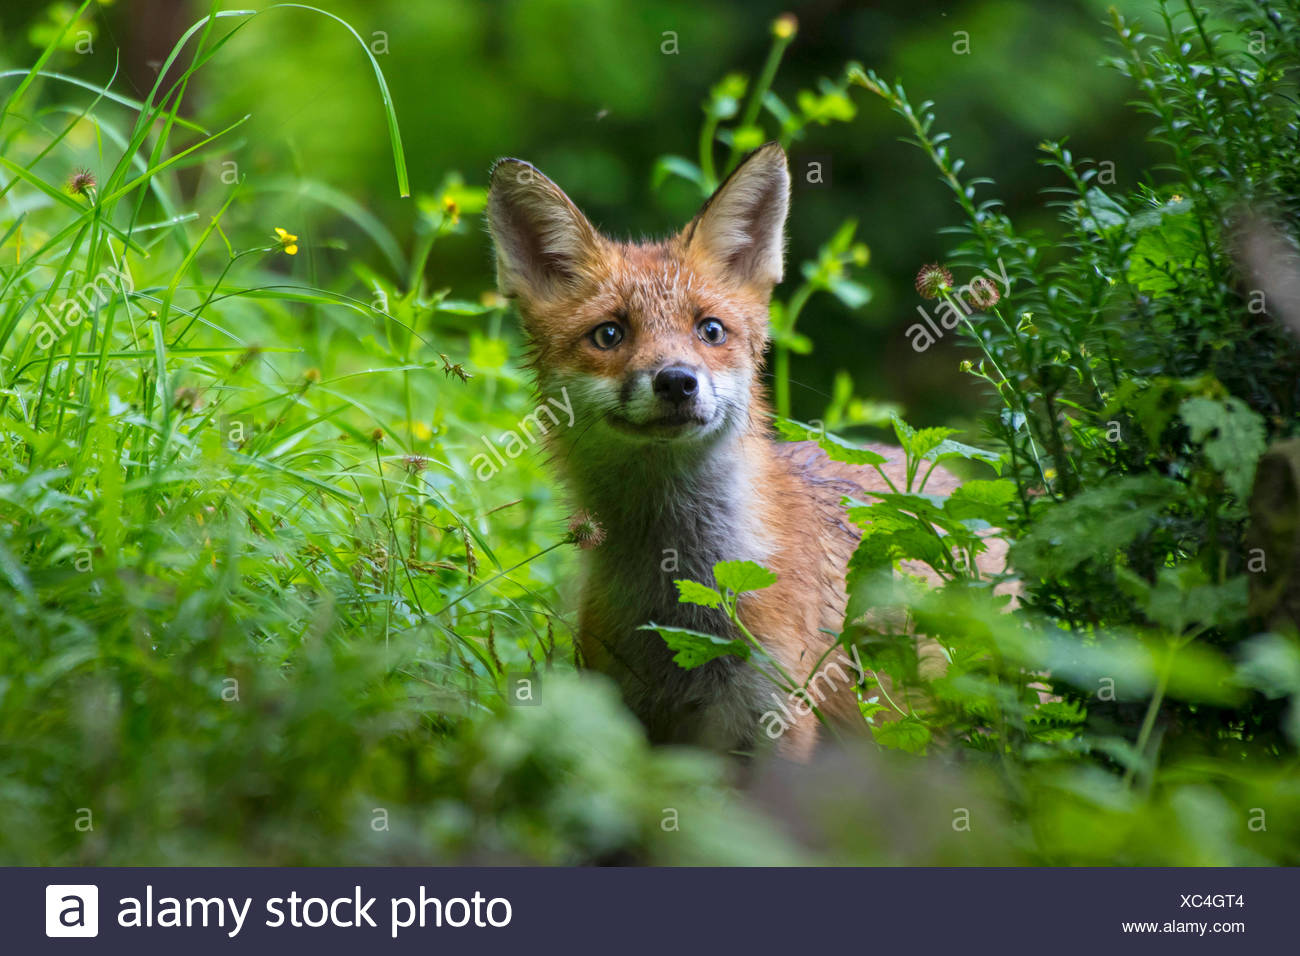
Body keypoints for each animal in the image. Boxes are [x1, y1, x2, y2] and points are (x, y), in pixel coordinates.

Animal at [486, 142, 982, 761]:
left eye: (711, 330)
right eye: (609, 334)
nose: (677, 381)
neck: (675, 589)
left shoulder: (773, 712)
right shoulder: (625, 706)